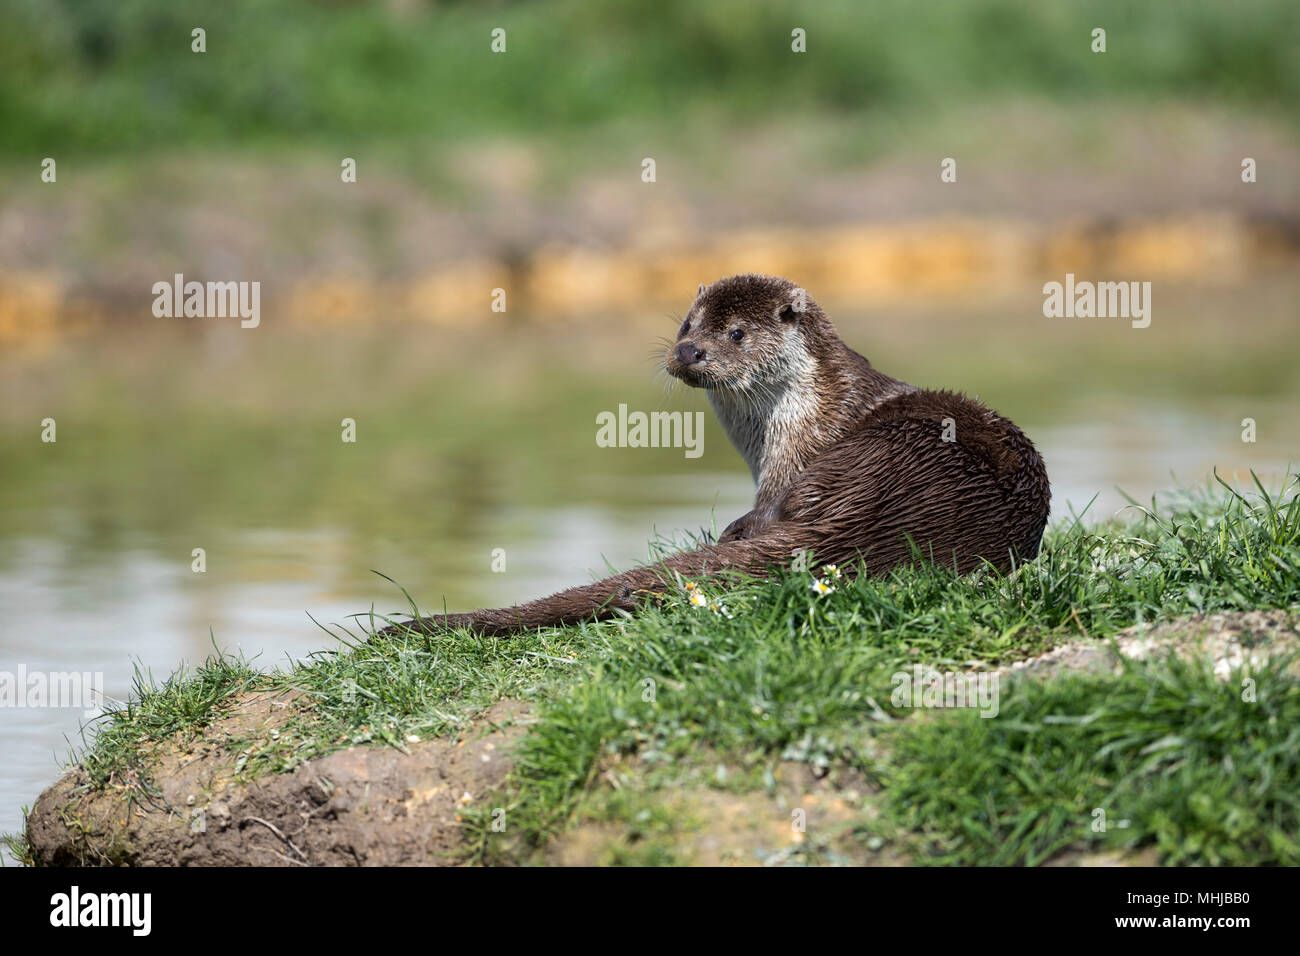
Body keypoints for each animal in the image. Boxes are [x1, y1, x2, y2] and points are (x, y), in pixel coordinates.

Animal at [381, 274, 1050, 638]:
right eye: (687, 323)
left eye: (736, 333)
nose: (690, 352)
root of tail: (899, 511)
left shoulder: (799, 452)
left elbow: (769, 507)